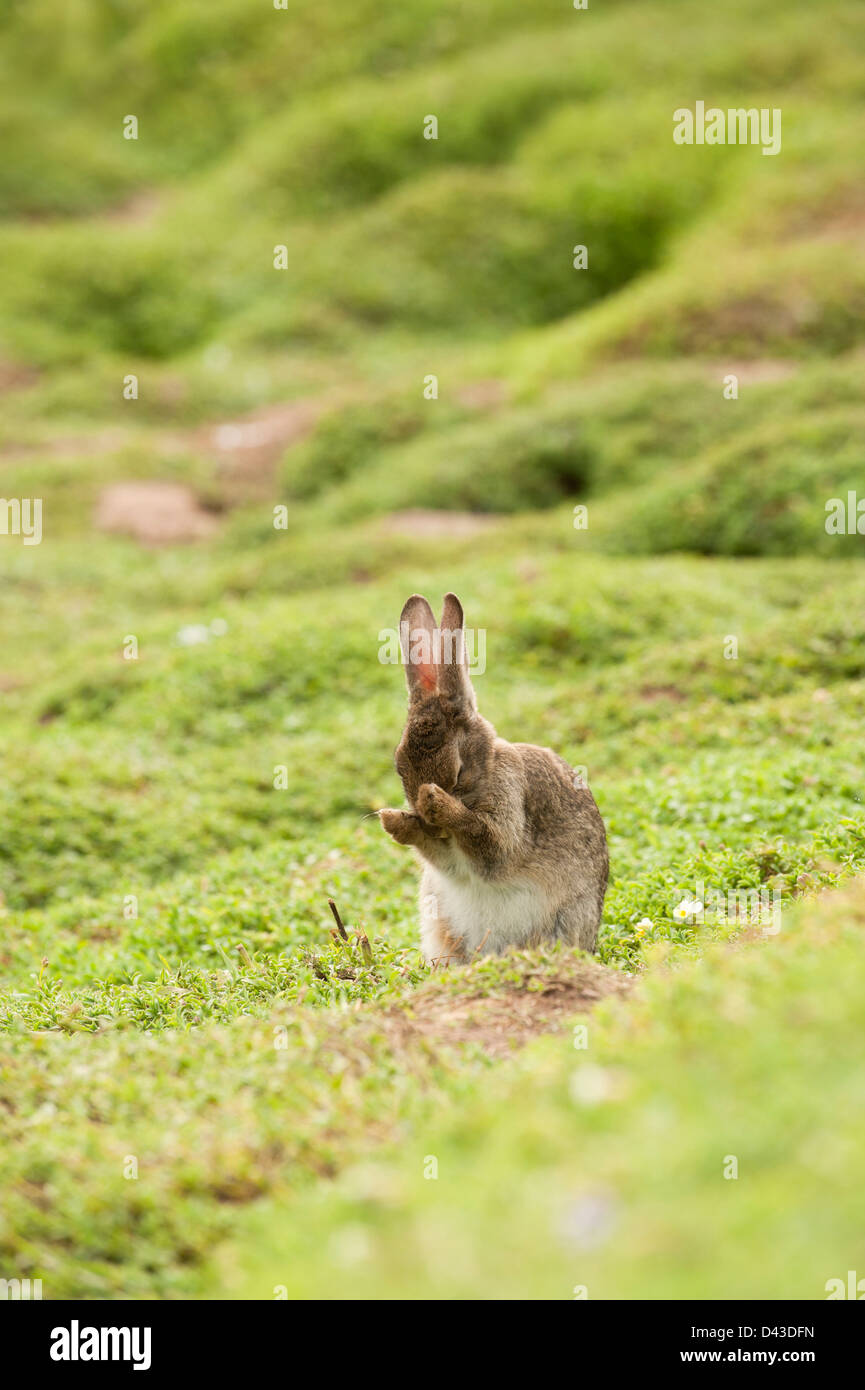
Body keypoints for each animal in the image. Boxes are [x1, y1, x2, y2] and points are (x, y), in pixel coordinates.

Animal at [379, 592, 608, 964]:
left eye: (458, 772)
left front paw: (435, 802)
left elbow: (486, 842)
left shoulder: (508, 813)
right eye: (400, 767)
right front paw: (394, 820)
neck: (486, 769)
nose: (428, 818)